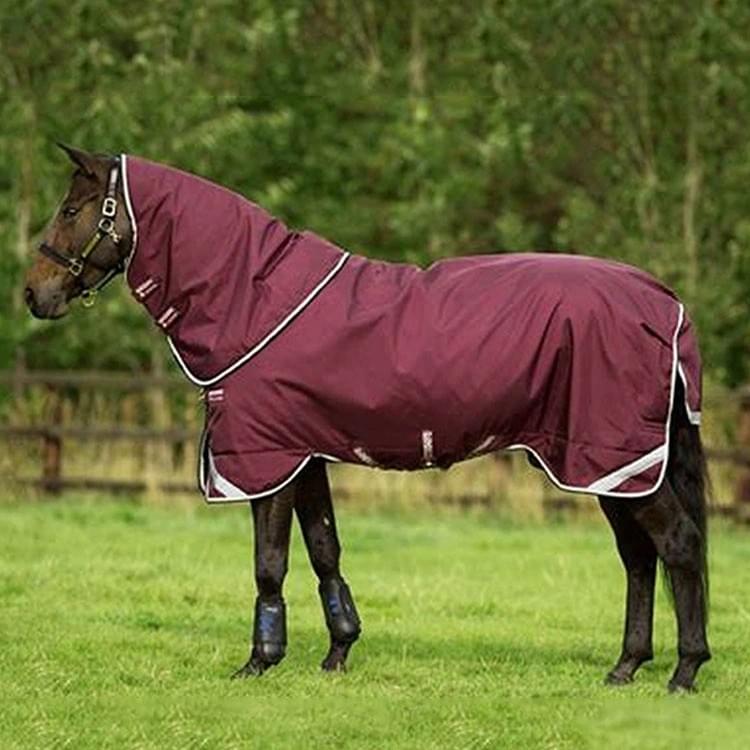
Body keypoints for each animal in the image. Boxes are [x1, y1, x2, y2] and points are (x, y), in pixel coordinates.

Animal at [24, 144, 711, 691]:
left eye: (71, 210)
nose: (35, 294)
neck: (254, 299)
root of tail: (665, 303)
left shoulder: (267, 459)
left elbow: (270, 561)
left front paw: (259, 661)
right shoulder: (303, 455)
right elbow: (324, 548)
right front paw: (338, 651)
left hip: (614, 457)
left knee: (677, 543)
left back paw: (684, 671)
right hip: (608, 467)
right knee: (638, 556)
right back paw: (626, 666)